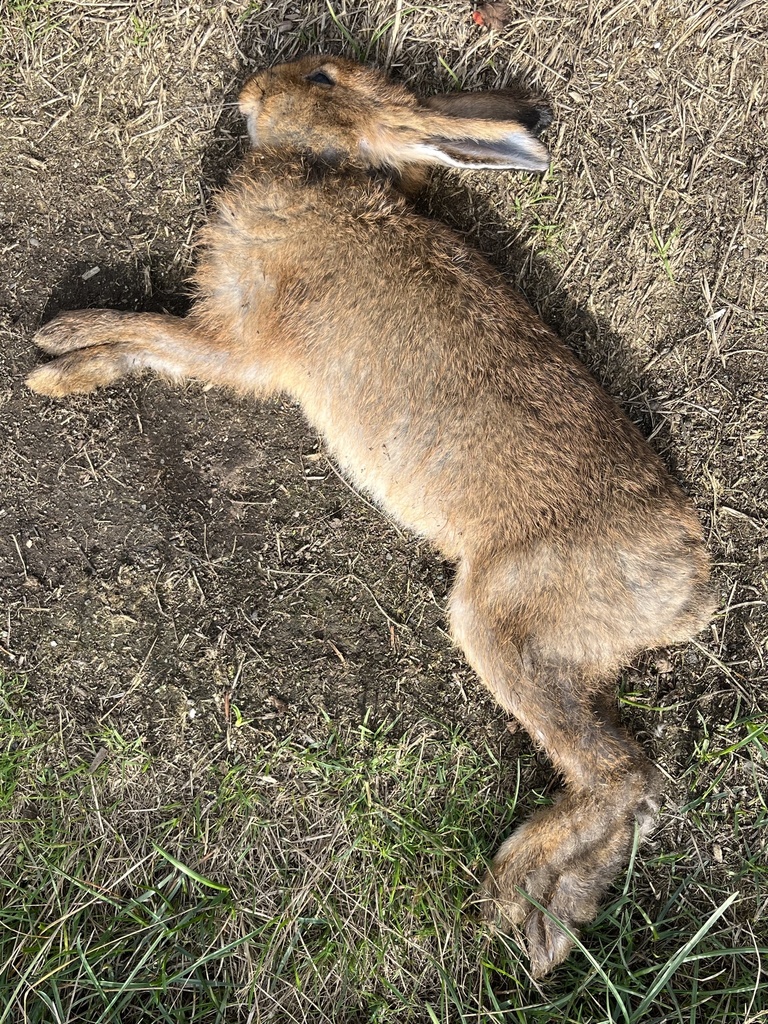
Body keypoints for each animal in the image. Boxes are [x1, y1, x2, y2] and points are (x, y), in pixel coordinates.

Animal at [26, 55, 715, 978]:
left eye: (320, 77)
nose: (251, 89)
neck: (328, 173)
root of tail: (689, 591)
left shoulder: (239, 340)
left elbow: (148, 333)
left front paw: (57, 356)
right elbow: (149, 346)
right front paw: (60, 349)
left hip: (497, 617)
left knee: (623, 774)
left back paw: (516, 897)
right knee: (630, 790)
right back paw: (555, 921)